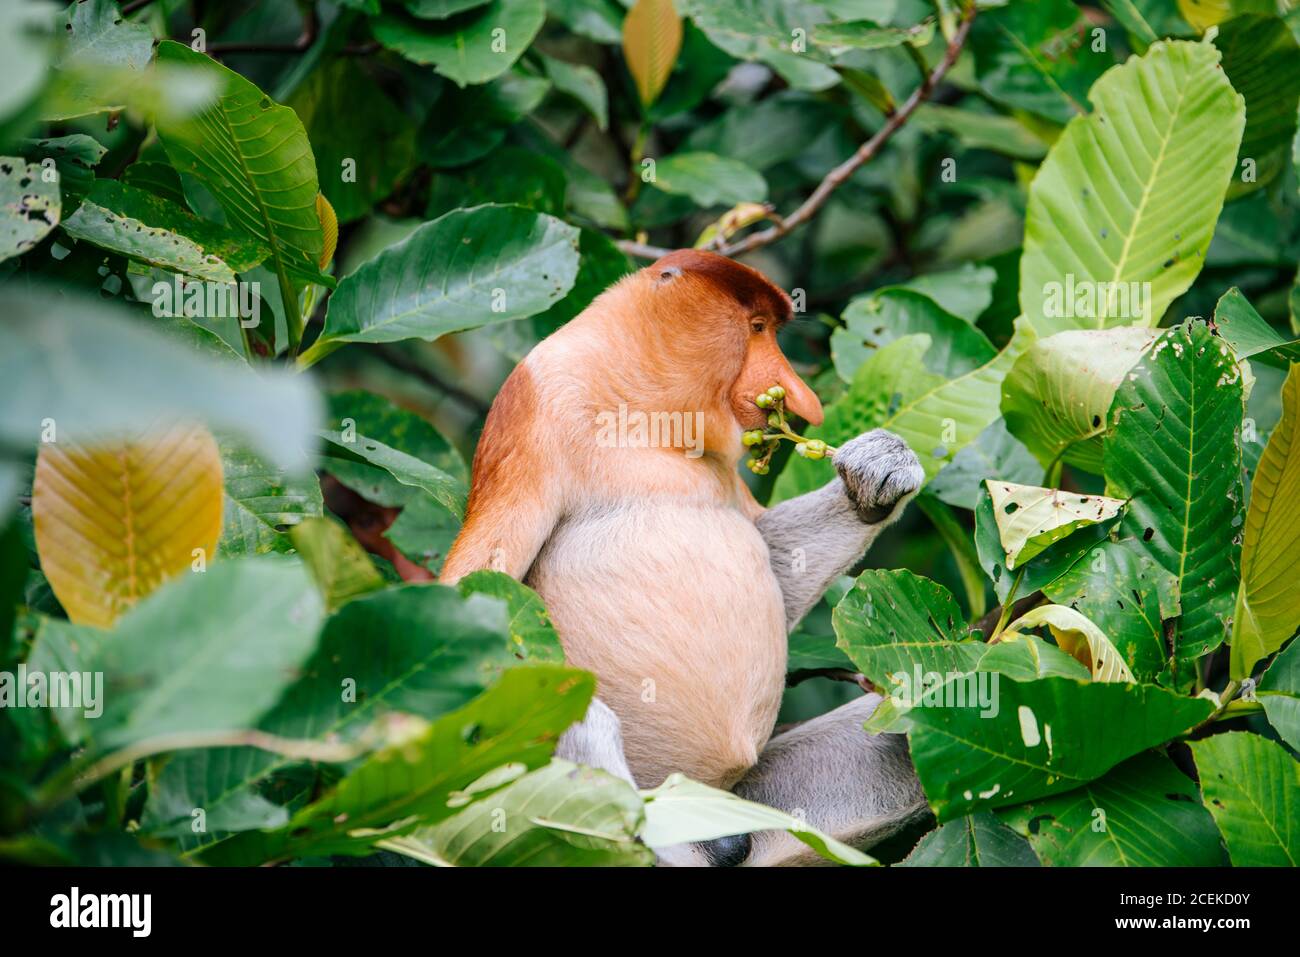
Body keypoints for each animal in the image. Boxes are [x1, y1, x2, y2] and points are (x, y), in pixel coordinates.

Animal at [440, 250, 929, 865]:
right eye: (757, 328)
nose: (801, 399)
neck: (644, 414)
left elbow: (773, 560)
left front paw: (877, 475)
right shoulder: (532, 409)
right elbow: (475, 585)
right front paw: (578, 720)